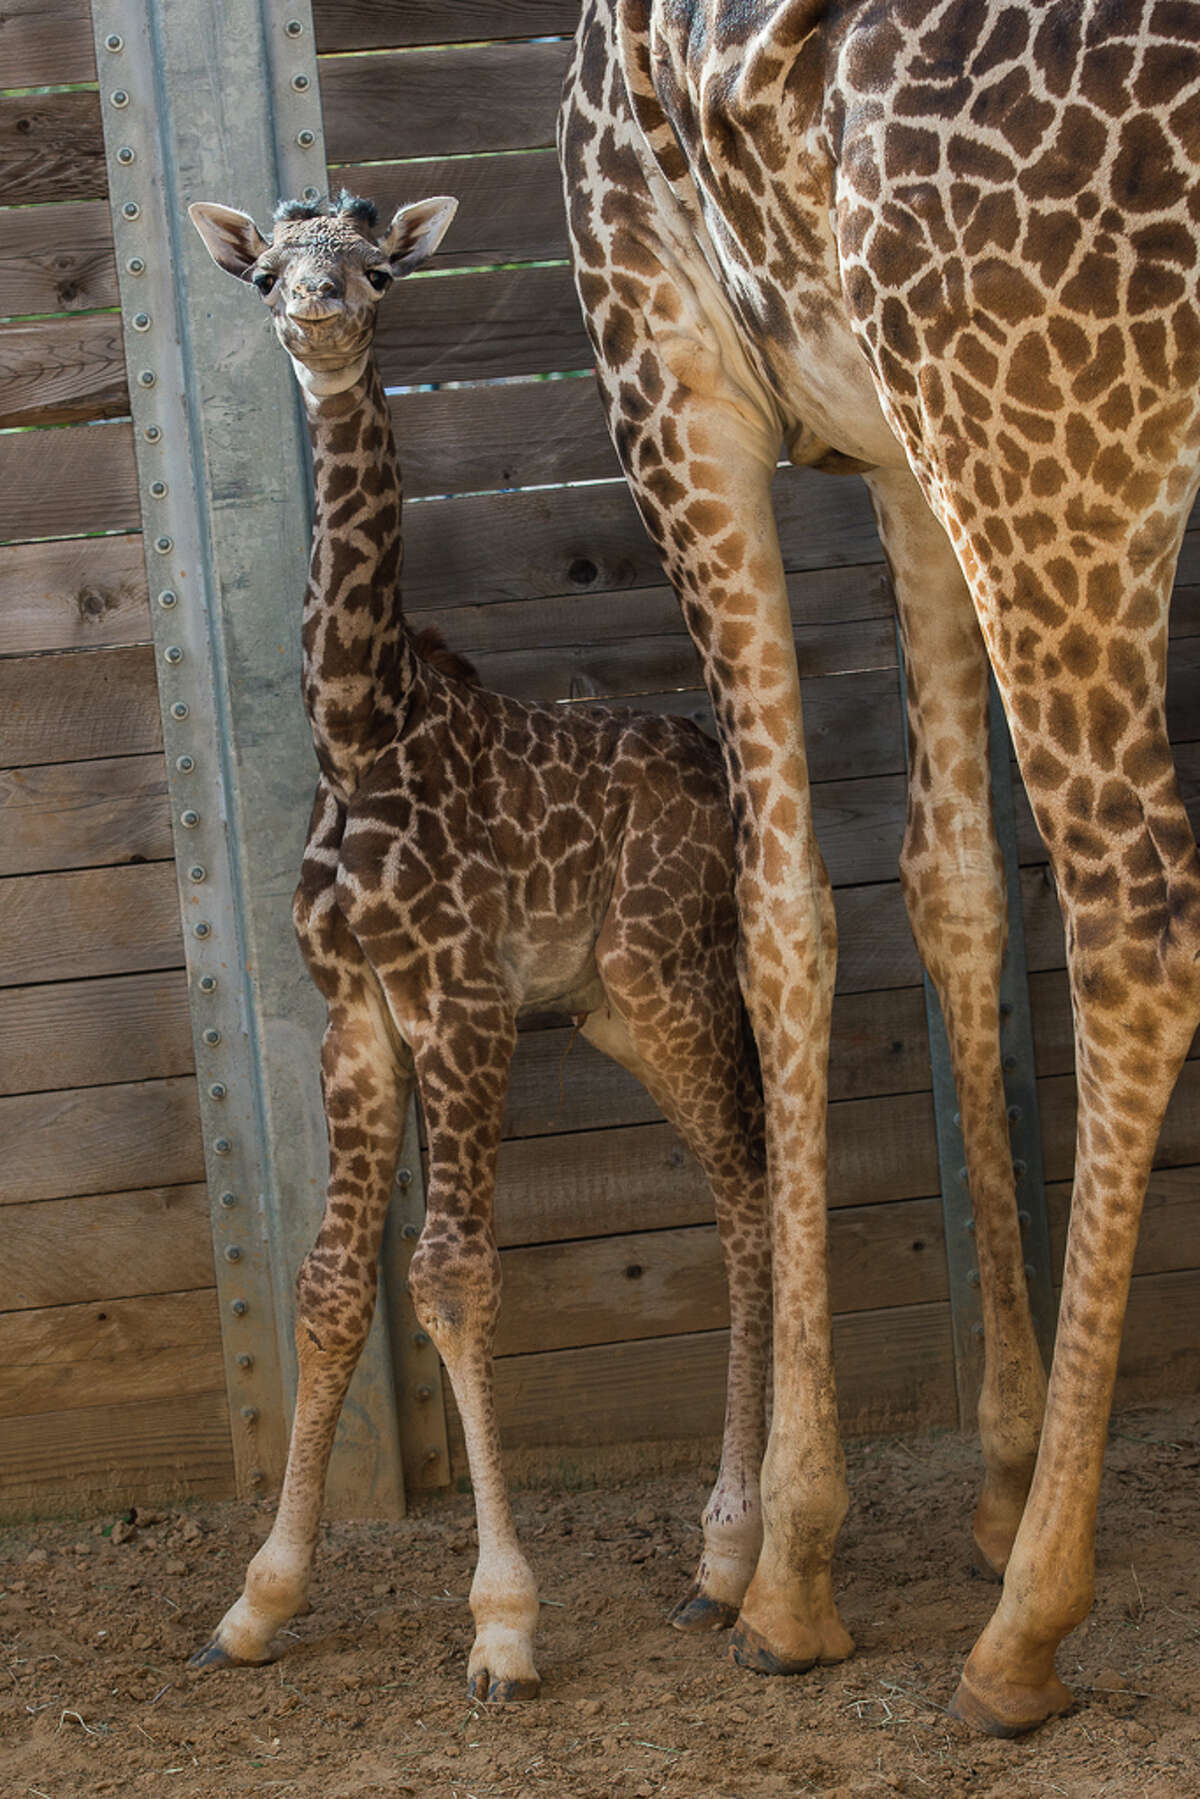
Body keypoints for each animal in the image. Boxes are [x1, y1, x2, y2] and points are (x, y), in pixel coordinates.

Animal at [186, 189, 776, 1703]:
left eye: (375, 266)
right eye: (268, 270)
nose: (317, 311)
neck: (361, 733)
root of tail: (726, 775)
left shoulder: (462, 1002)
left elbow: (452, 1275)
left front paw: (503, 1621)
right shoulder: (354, 1016)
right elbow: (332, 1284)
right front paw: (261, 1598)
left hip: (671, 983)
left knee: (753, 1190)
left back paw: (729, 1557)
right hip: (616, 1012)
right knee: (741, 1187)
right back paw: (725, 1557)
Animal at [560, 0, 1200, 1738]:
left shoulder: (669, 368)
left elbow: (786, 914)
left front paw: (776, 1556)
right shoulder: (901, 452)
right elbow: (948, 877)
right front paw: (994, 1469)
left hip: (1045, 432)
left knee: (1136, 910)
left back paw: (1026, 1628)